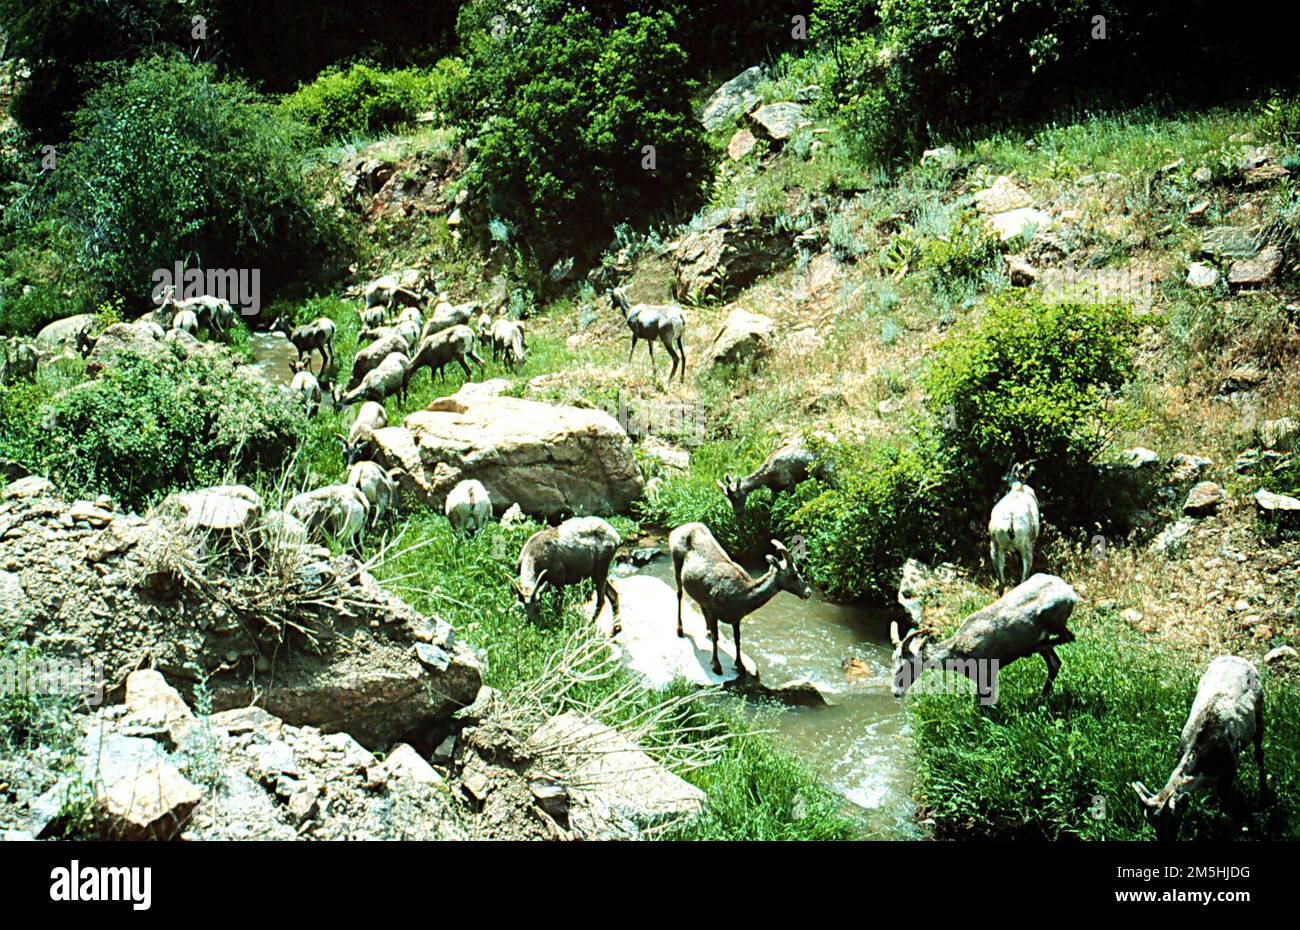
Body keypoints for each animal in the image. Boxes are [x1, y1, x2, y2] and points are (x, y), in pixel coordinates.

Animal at [669, 523, 811, 680]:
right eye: (794, 575)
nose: (808, 592)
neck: (739, 598)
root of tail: (675, 530)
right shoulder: (713, 609)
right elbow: (717, 638)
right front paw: (716, 666)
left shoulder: (736, 617)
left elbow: (737, 639)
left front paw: (740, 665)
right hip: (676, 562)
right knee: (679, 594)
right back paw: (680, 629)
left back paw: (706, 630)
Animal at [889, 573, 1077, 701]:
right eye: (893, 662)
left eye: (906, 666)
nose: (895, 693)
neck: (958, 655)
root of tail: (1071, 592)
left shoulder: (987, 671)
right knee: (1055, 662)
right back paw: (1041, 697)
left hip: (1055, 621)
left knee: (1069, 637)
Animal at [1132, 655, 1267, 840]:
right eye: (1152, 823)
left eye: (1172, 820)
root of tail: (1238, 658)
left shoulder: (1230, 769)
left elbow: (1223, 806)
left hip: (1260, 711)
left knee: (1259, 752)